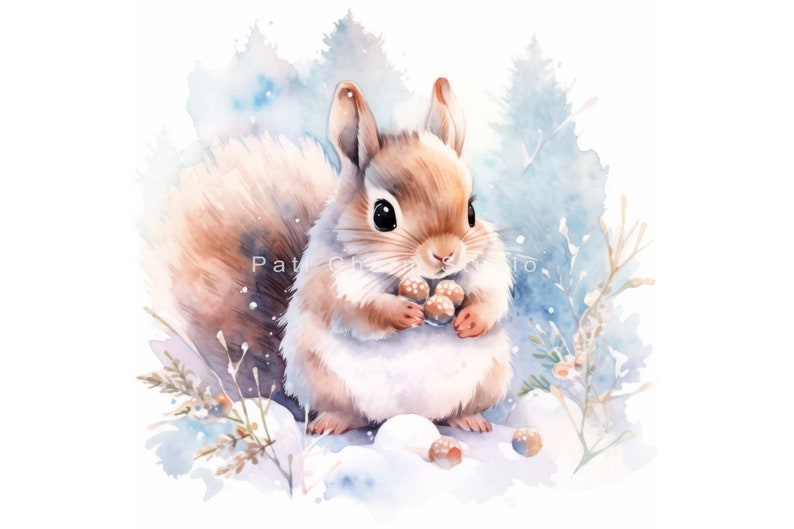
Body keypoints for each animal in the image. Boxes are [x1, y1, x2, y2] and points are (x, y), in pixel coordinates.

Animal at [148, 78, 513, 434]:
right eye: (383, 215)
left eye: (471, 212)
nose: (445, 254)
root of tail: (406, 415)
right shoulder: (329, 279)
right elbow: (354, 311)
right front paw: (401, 313)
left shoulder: (488, 264)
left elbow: (492, 296)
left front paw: (472, 319)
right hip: (323, 380)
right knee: (350, 413)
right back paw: (332, 422)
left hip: (488, 381)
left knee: (452, 413)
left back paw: (469, 420)